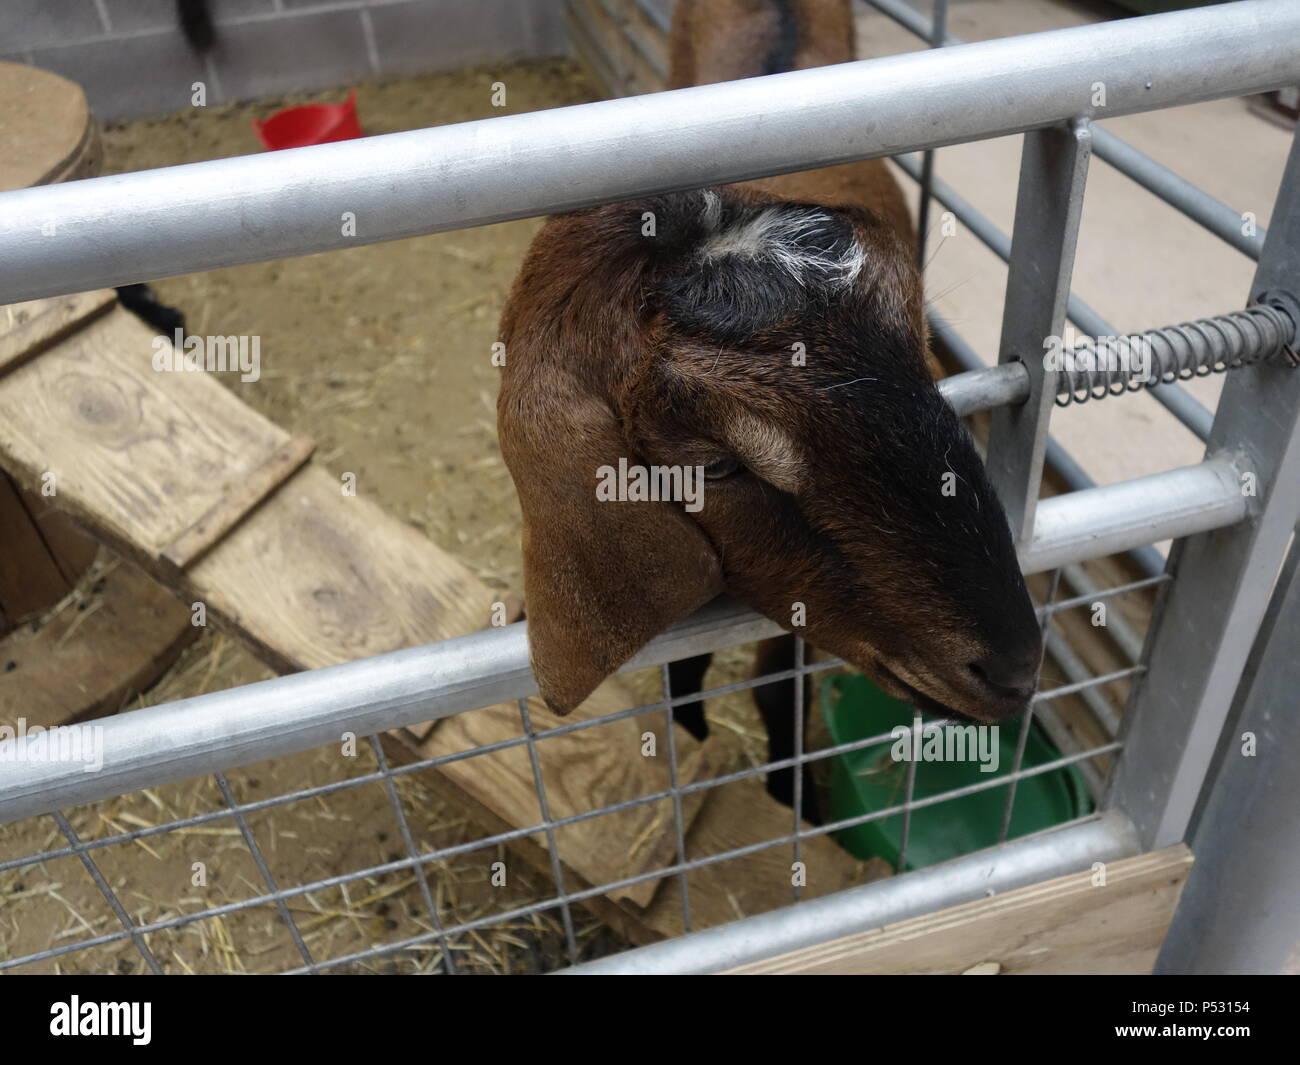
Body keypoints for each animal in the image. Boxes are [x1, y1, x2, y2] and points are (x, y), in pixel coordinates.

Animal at [497, 0, 1042, 820]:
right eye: (715, 464)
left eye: (920, 359)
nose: (1015, 667)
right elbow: (684, 671)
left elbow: (775, 689)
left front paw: (794, 801)